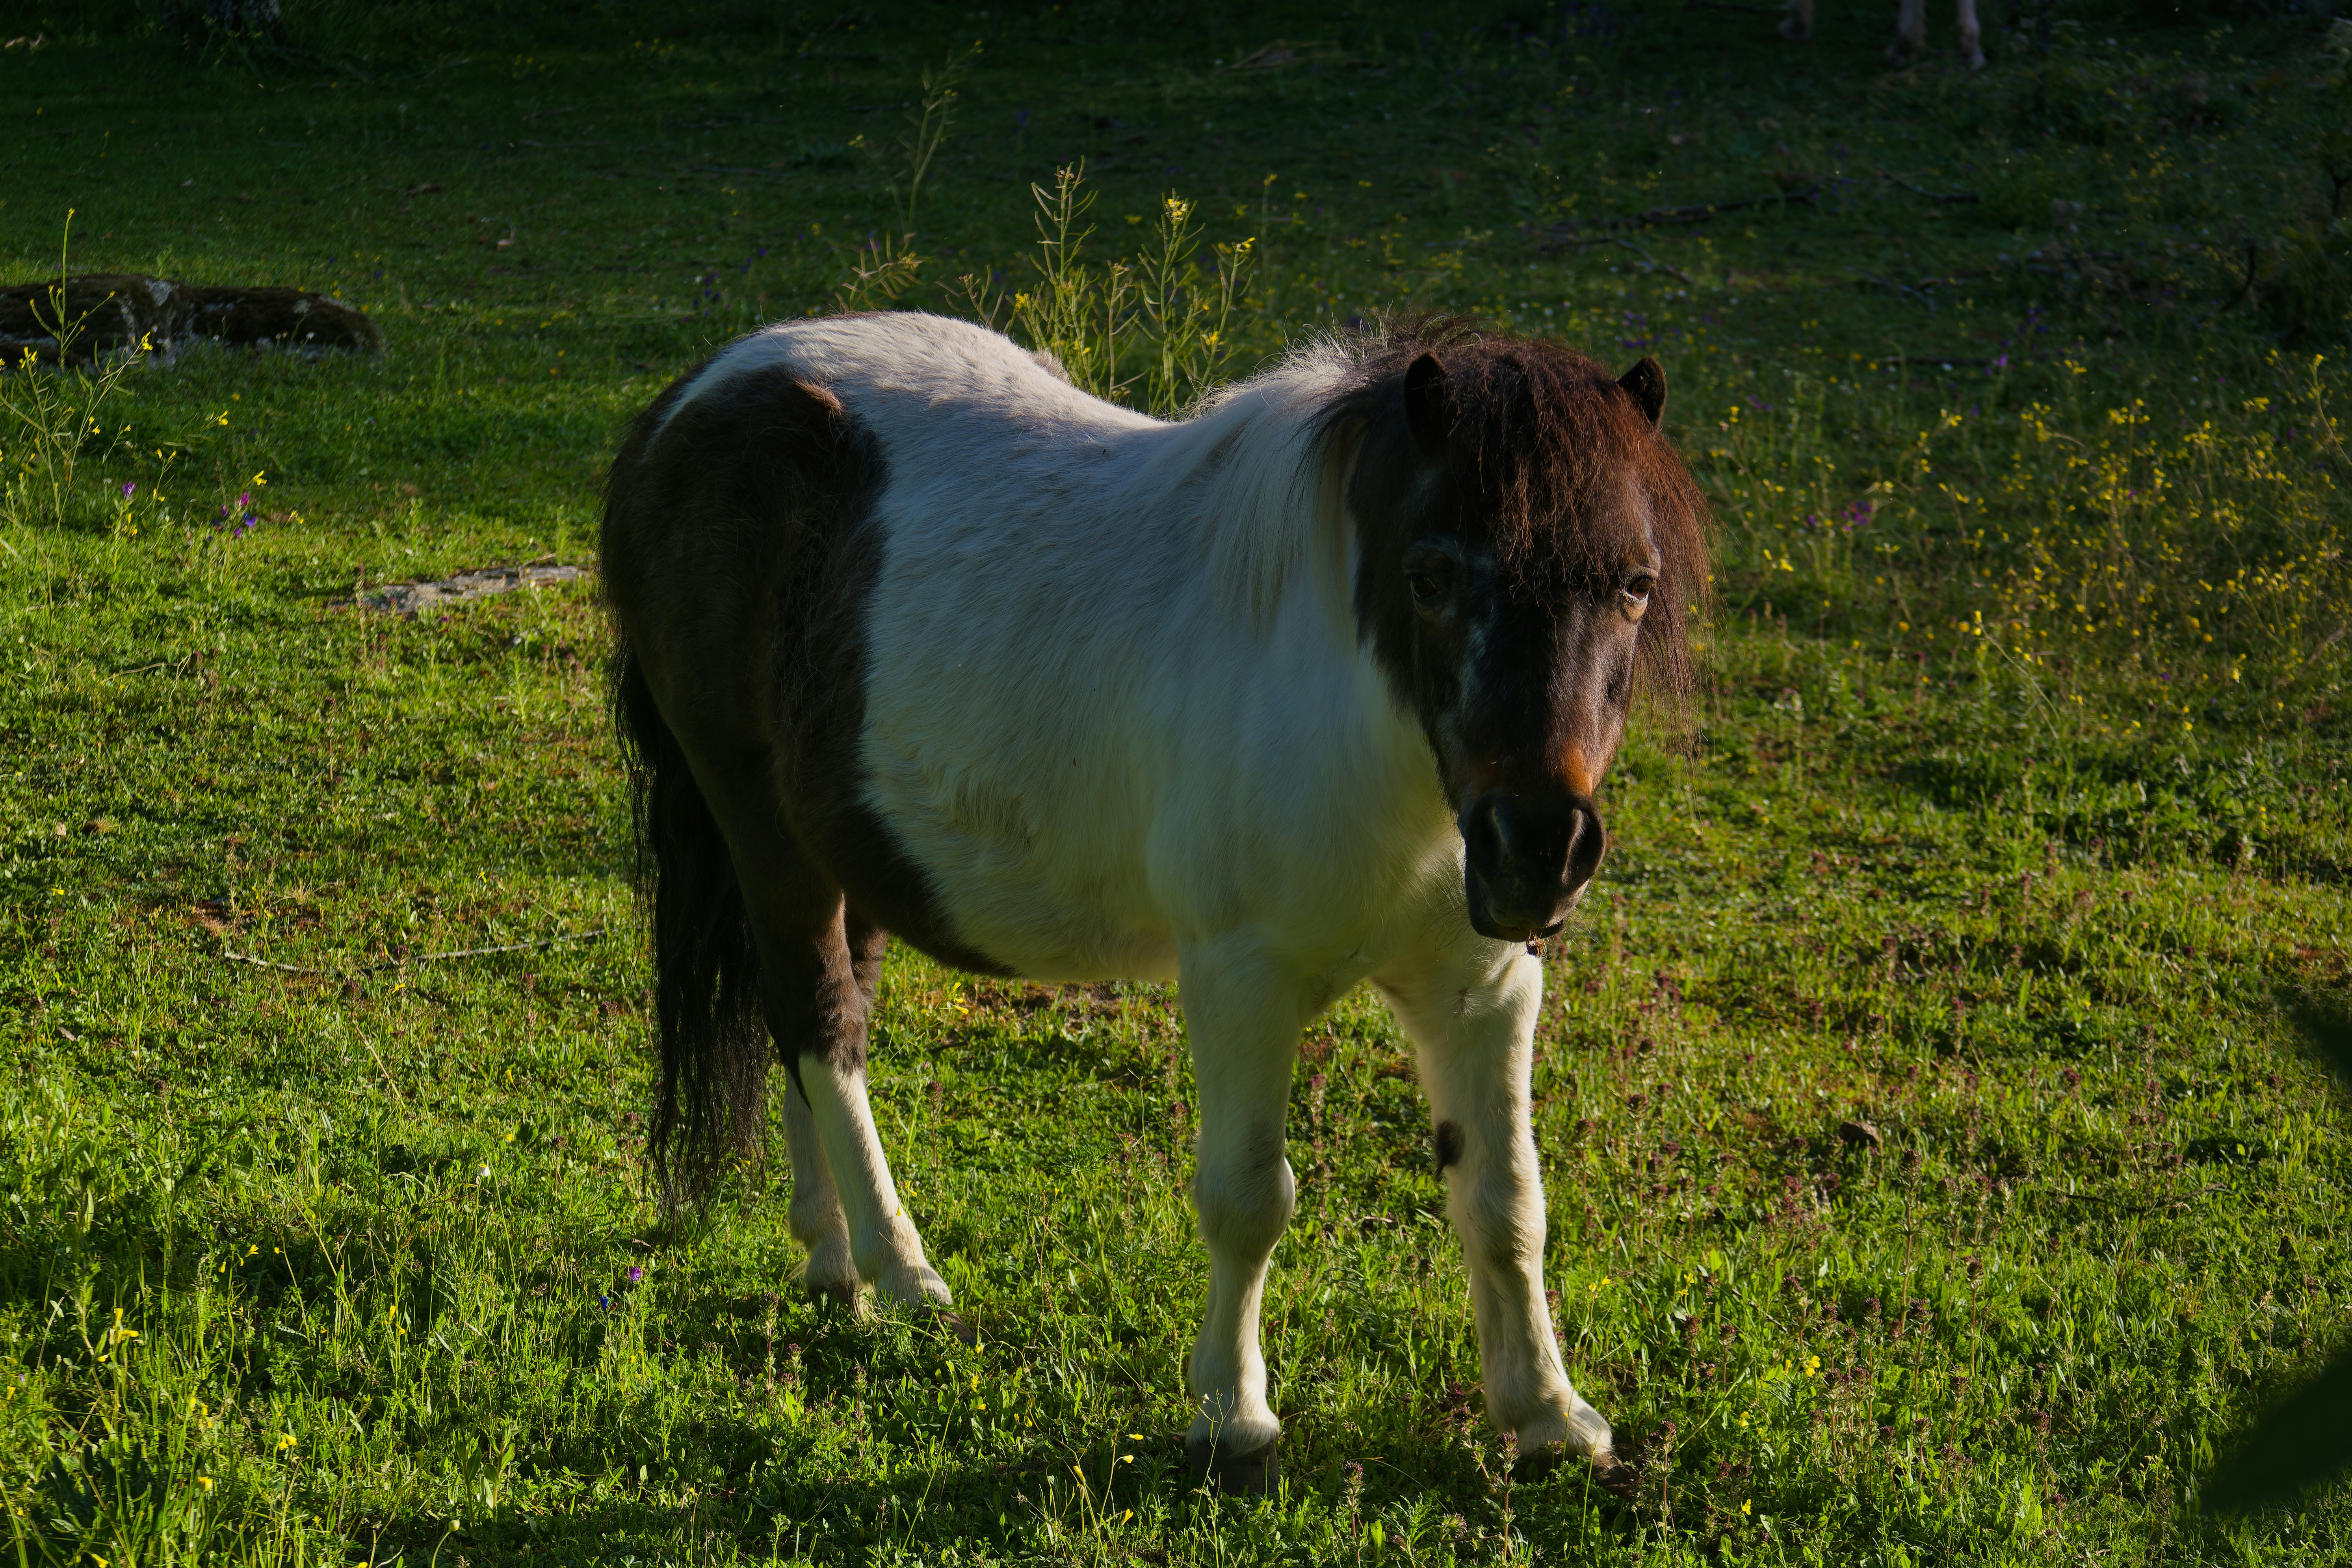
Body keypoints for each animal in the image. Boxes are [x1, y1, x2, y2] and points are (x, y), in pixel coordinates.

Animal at [599, 312, 1711, 1492]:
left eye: (1632, 584)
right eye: (1432, 576)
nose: (1536, 851)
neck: (1356, 712)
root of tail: (692, 402)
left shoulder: (1483, 985)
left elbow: (1506, 1201)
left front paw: (1548, 1414)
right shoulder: (1239, 977)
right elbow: (1248, 1199)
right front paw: (1232, 1418)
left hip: (849, 845)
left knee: (802, 1019)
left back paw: (830, 1257)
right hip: (762, 831)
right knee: (819, 1023)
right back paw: (902, 1275)